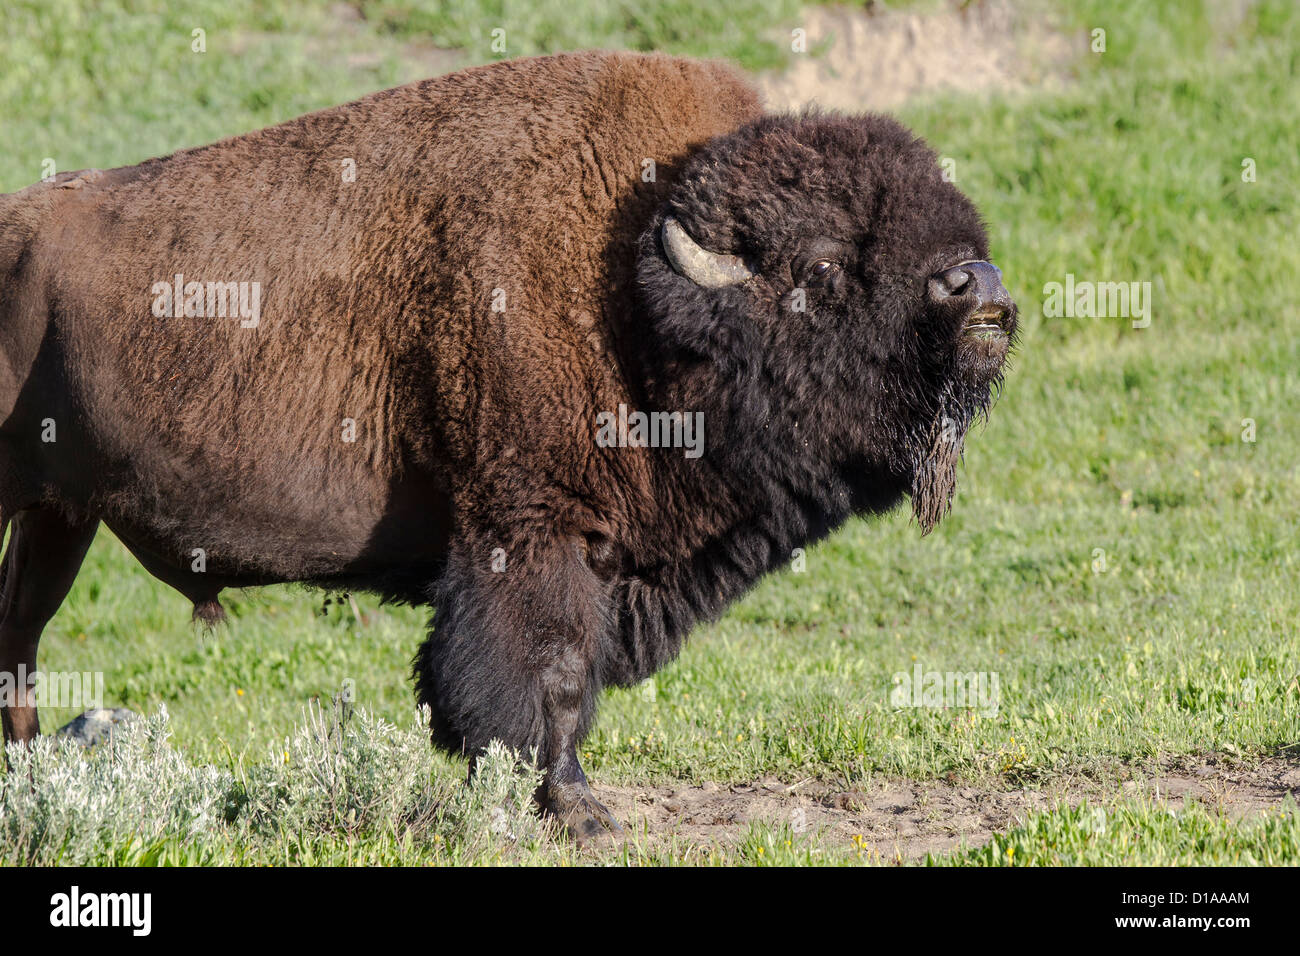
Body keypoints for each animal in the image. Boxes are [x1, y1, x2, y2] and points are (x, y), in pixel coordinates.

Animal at [0, 51, 1016, 843]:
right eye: (823, 266)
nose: (981, 290)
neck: (632, 285)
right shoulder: (533, 532)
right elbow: (550, 674)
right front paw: (579, 812)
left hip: (59, 515)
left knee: (23, 630)